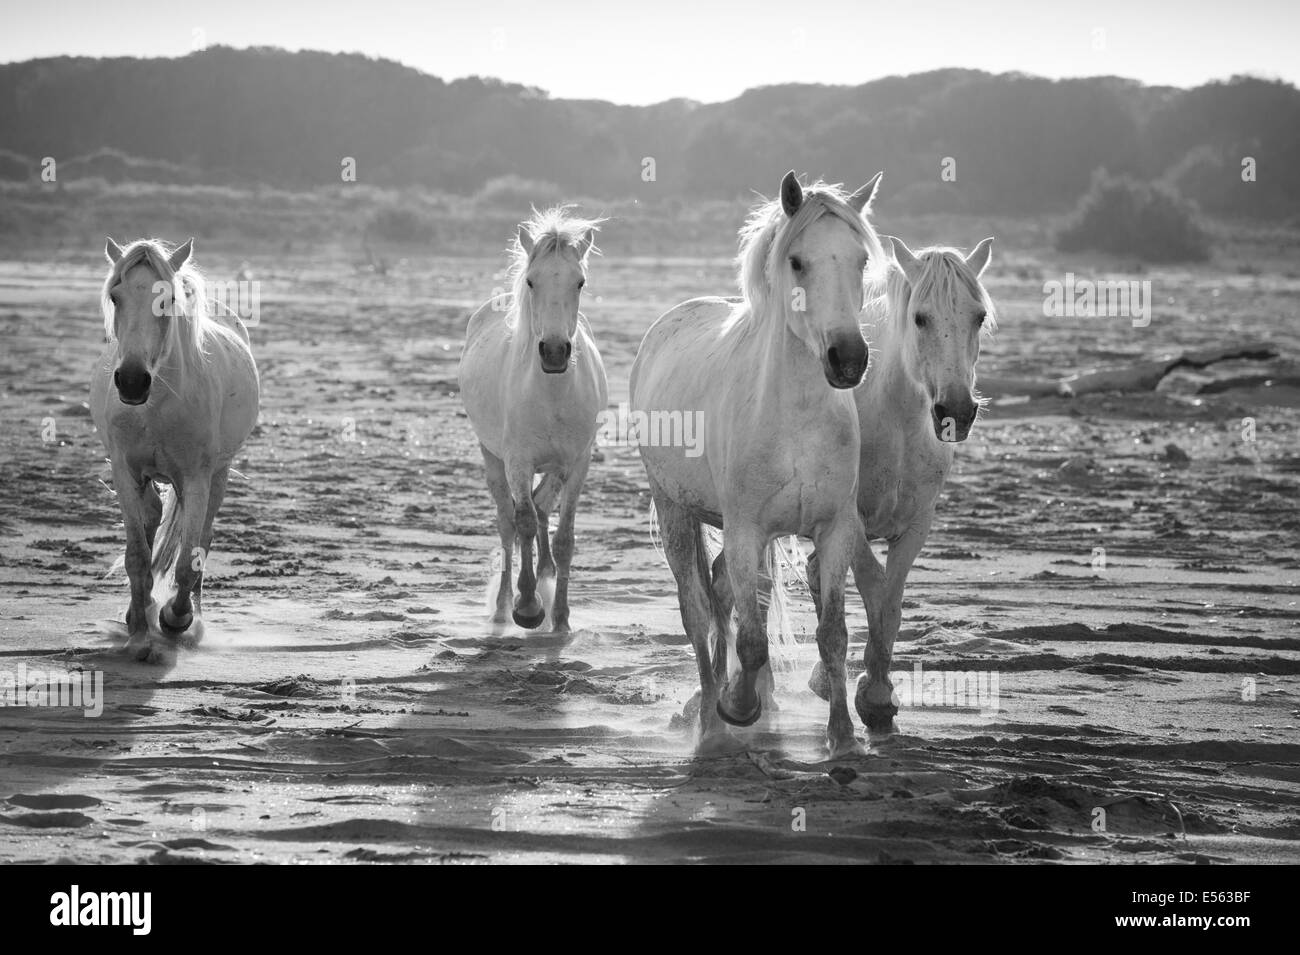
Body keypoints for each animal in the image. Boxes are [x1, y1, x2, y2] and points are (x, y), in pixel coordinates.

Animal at [90, 237, 260, 663]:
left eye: (166, 299)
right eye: (115, 296)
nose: (132, 381)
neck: (157, 404)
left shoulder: (196, 478)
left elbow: (188, 560)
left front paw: (176, 619)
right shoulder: (125, 473)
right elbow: (137, 555)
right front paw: (138, 635)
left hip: (217, 475)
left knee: (203, 537)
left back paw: (187, 614)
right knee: (151, 521)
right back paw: (142, 609)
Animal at [458, 208, 608, 632]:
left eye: (579, 281)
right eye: (531, 280)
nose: (555, 352)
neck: (552, 393)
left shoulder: (577, 463)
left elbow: (564, 538)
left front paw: (560, 616)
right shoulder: (518, 461)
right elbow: (522, 520)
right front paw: (527, 606)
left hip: (555, 467)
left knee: (542, 509)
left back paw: (544, 578)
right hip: (492, 458)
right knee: (508, 520)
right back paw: (502, 604)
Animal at [630, 171, 884, 757]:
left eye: (861, 259)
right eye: (798, 261)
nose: (848, 359)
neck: (797, 418)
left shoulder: (833, 531)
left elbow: (832, 634)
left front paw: (842, 737)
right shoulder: (746, 530)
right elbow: (749, 639)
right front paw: (738, 705)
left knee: (723, 595)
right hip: (675, 510)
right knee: (699, 610)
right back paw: (710, 720)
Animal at [807, 234, 996, 730]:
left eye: (979, 316)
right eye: (920, 317)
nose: (956, 413)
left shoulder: (916, 525)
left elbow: (891, 602)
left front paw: (879, 690)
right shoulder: (852, 522)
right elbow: (874, 590)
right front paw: (871, 693)